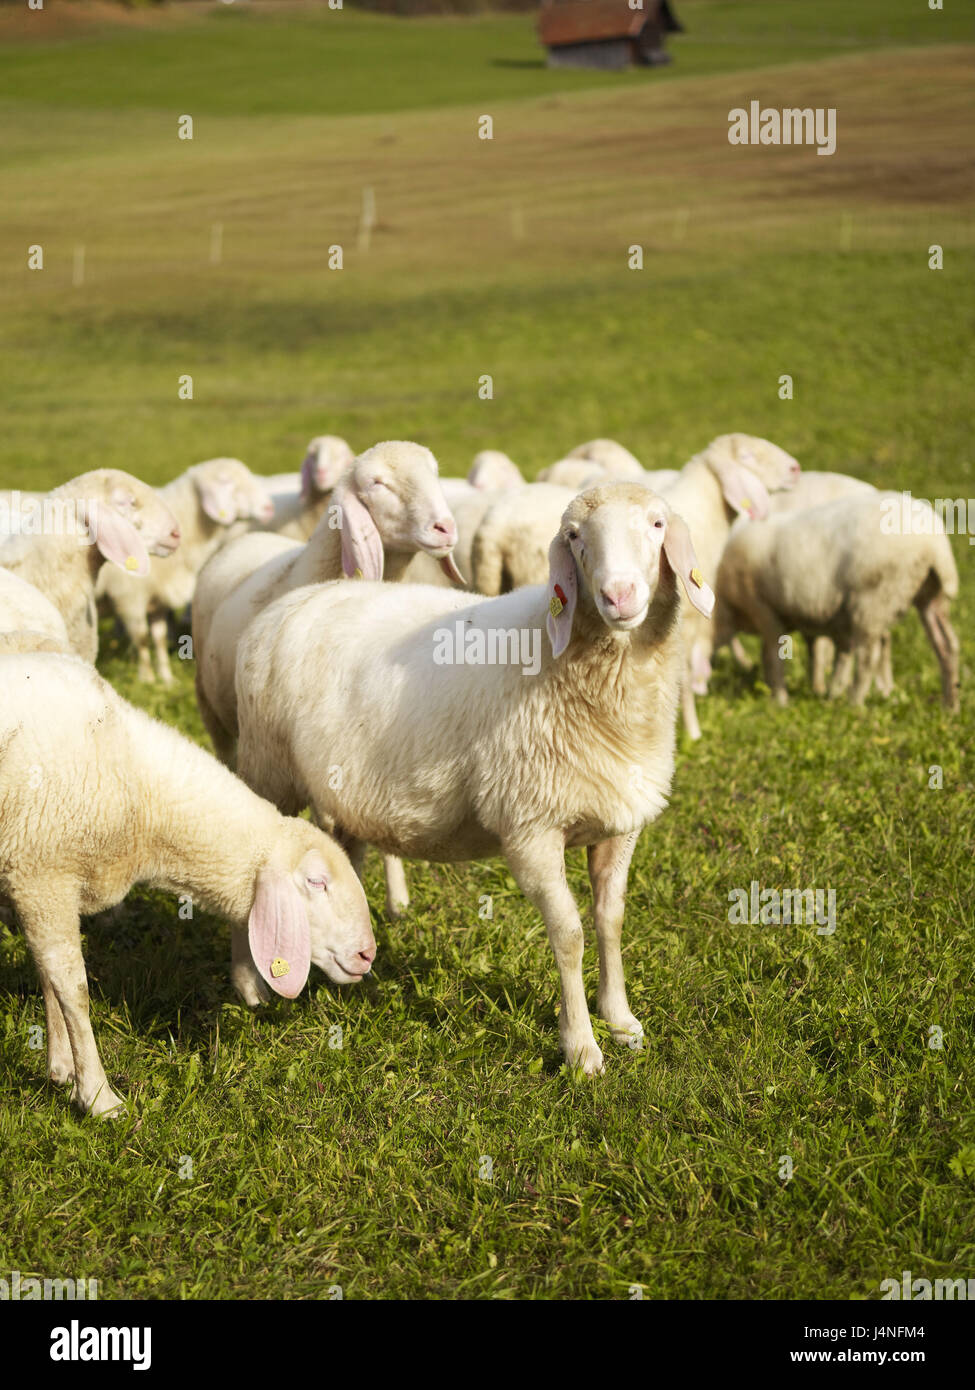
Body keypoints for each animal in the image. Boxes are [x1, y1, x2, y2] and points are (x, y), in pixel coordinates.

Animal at [0, 650, 376, 1116]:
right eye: (316, 881)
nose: (367, 954)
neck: (137, 789)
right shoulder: (41, 876)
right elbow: (72, 987)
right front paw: (98, 1096)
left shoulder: (38, 885)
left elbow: (48, 979)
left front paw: (61, 1068)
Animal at [96, 457, 275, 683]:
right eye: (227, 482)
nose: (269, 508)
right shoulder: (129, 597)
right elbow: (142, 638)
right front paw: (147, 679)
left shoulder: (157, 599)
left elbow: (159, 638)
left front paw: (166, 678)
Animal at [233, 482, 715, 1075]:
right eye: (575, 536)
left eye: (656, 523)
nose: (618, 596)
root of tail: (286, 604)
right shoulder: (530, 830)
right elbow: (569, 935)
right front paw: (581, 1047)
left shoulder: (619, 822)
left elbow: (610, 919)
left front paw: (621, 1020)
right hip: (266, 767)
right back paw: (249, 986)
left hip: (340, 795)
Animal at [712, 491, 960, 711]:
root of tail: (935, 544)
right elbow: (827, 653)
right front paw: (826, 691)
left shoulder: (764, 611)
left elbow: (772, 657)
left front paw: (780, 699)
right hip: (930, 596)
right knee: (947, 645)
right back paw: (950, 704)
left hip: (874, 599)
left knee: (869, 655)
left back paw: (854, 702)